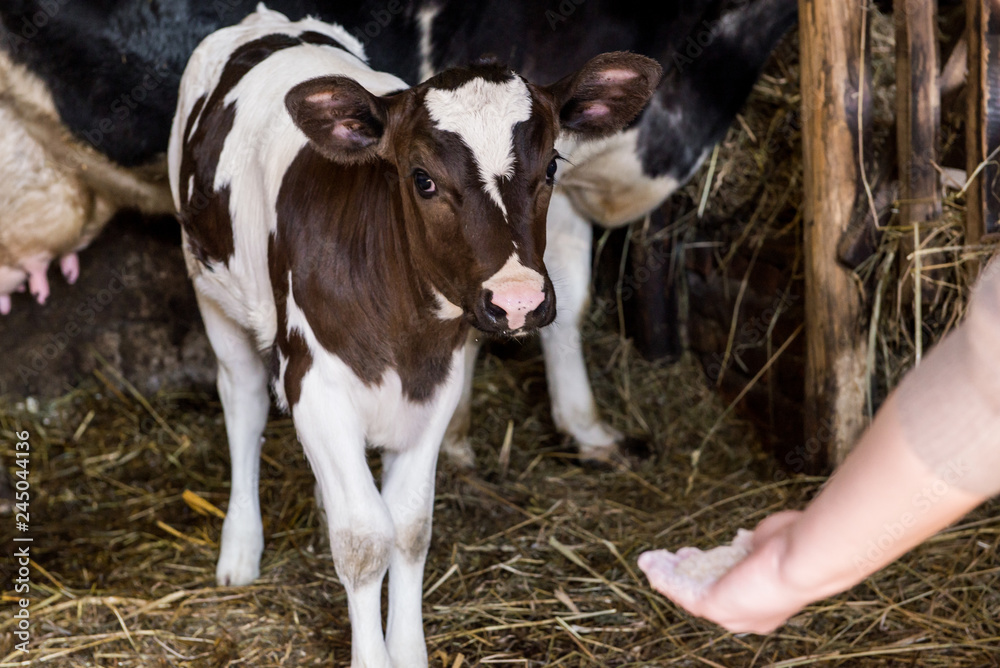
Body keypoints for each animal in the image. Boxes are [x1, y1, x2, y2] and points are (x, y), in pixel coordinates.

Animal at [167, 6, 660, 665]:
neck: (404, 332)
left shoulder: (436, 389)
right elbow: (362, 540)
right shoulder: (314, 386)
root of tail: (268, 20)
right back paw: (241, 548)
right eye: (422, 179)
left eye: (553, 165)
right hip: (210, 288)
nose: (518, 299)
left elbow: (406, 528)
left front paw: (408, 651)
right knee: (243, 404)